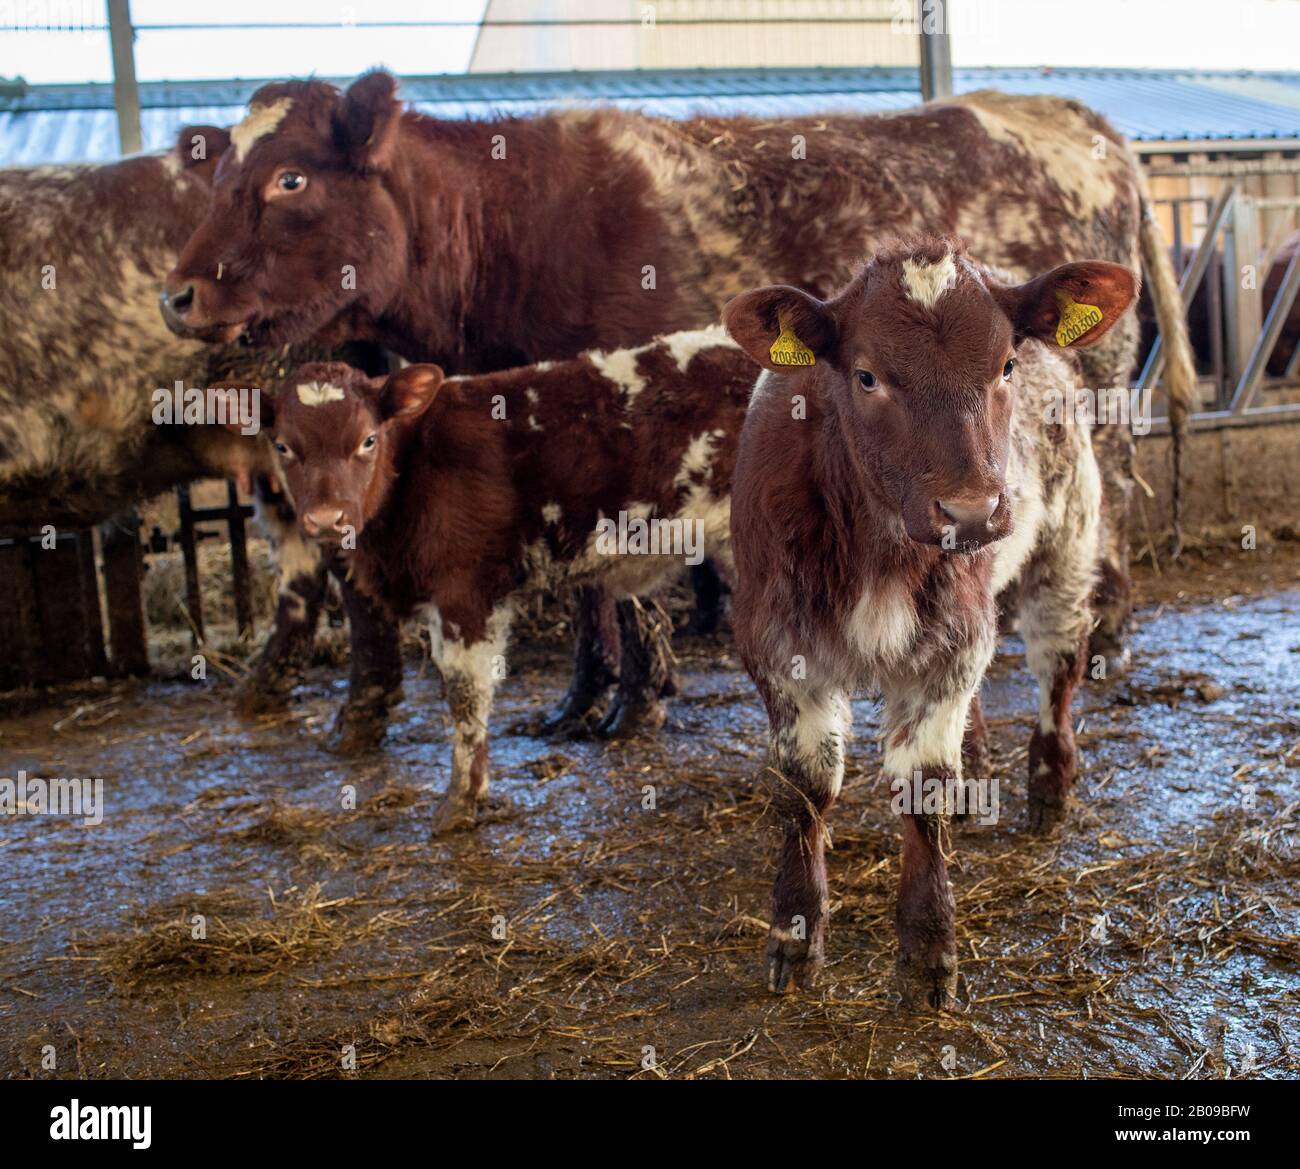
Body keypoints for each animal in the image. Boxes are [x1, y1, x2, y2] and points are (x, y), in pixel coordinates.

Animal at [160, 70, 1196, 722]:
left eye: (289, 177)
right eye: (216, 176)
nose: (178, 294)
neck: (515, 227)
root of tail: (1074, 118)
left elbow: (622, 590)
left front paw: (632, 698)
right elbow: (589, 589)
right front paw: (587, 699)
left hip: (1097, 398)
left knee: (1113, 501)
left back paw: (1108, 633)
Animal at [219, 329, 749, 830]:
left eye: (367, 439)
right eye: (283, 445)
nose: (326, 519)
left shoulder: (465, 593)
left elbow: (465, 695)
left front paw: (461, 800)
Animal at [724, 237, 1139, 1010]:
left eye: (1004, 365)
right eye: (866, 376)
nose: (971, 511)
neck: (878, 539)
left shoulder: (950, 643)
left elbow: (923, 790)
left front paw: (926, 947)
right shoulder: (777, 642)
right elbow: (806, 786)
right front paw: (795, 929)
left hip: (1066, 542)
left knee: (1059, 669)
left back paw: (1050, 781)